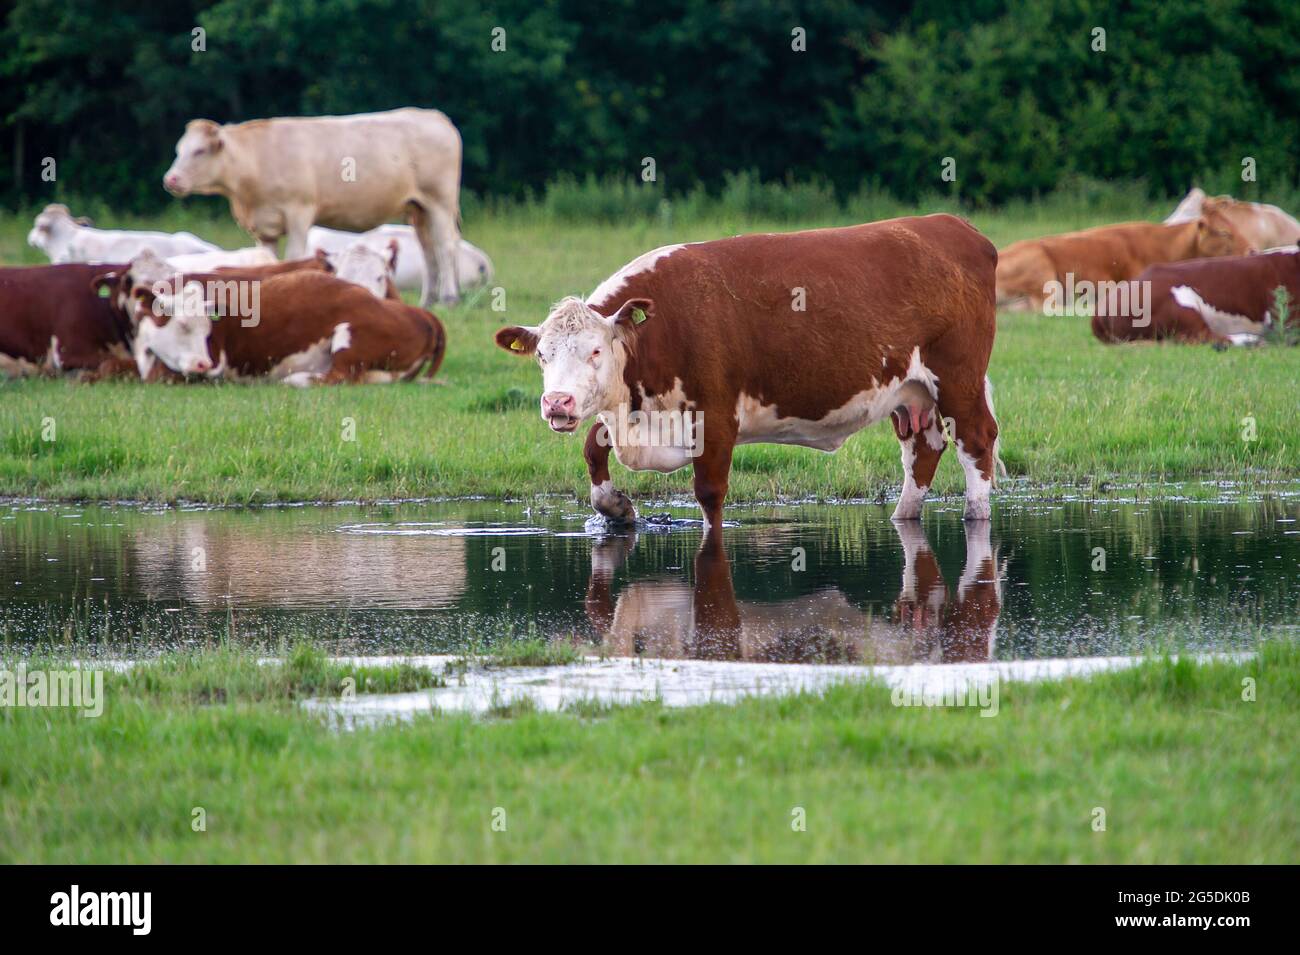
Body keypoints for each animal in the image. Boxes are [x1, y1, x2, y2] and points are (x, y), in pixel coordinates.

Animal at [129, 270, 446, 386]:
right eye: (183, 325)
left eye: (206, 333)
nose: (202, 363)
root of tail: (423, 315)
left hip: (350, 337)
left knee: (337, 376)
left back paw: (296, 379)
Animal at [163, 108, 463, 306]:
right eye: (178, 150)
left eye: (199, 150)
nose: (170, 179)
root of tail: (433, 116)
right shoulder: (264, 227)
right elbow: (268, 260)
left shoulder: (299, 211)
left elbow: (294, 256)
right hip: (419, 208)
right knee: (428, 251)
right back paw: (428, 301)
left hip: (440, 201)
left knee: (445, 246)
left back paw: (449, 298)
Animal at [494, 215, 1002, 532]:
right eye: (542, 356)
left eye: (596, 351)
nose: (557, 403)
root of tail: (950, 226)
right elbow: (592, 453)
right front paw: (618, 508)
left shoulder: (717, 417)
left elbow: (709, 495)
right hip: (911, 393)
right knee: (923, 448)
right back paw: (904, 516)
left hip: (957, 379)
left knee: (977, 440)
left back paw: (976, 516)